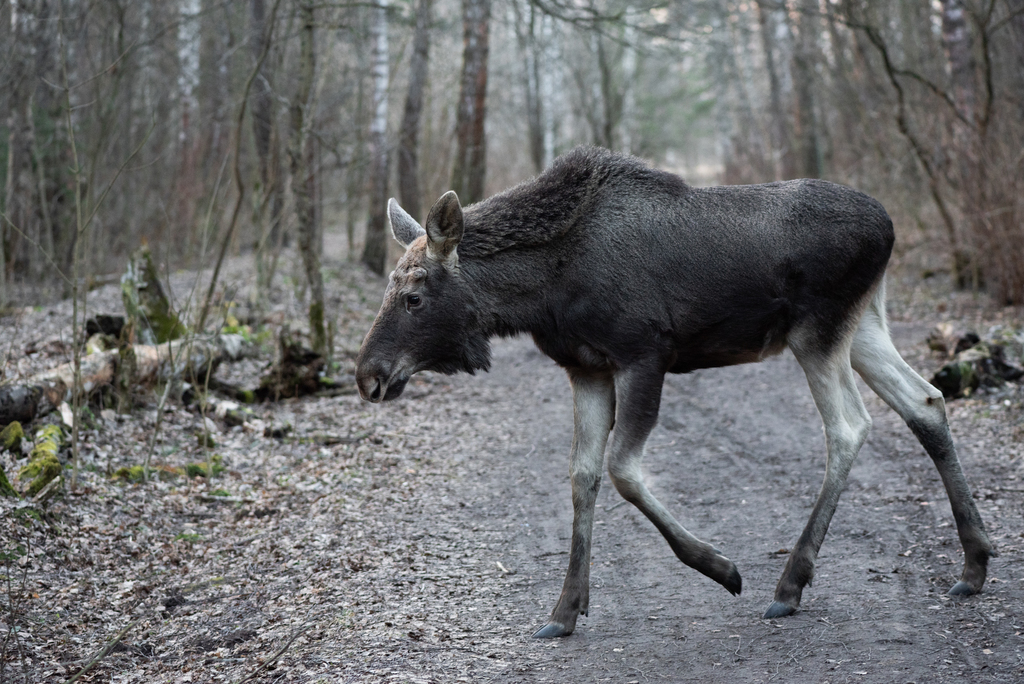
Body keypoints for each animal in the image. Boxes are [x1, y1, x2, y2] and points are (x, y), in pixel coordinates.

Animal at [355, 147, 994, 638]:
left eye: (414, 296)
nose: (368, 375)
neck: (539, 292)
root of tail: (890, 227)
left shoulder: (645, 353)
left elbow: (622, 470)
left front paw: (721, 568)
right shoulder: (585, 368)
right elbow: (582, 476)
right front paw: (565, 610)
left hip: (818, 329)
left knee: (849, 426)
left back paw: (790, 584)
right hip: (861, 325)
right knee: (926, 400)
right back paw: (974, 565)